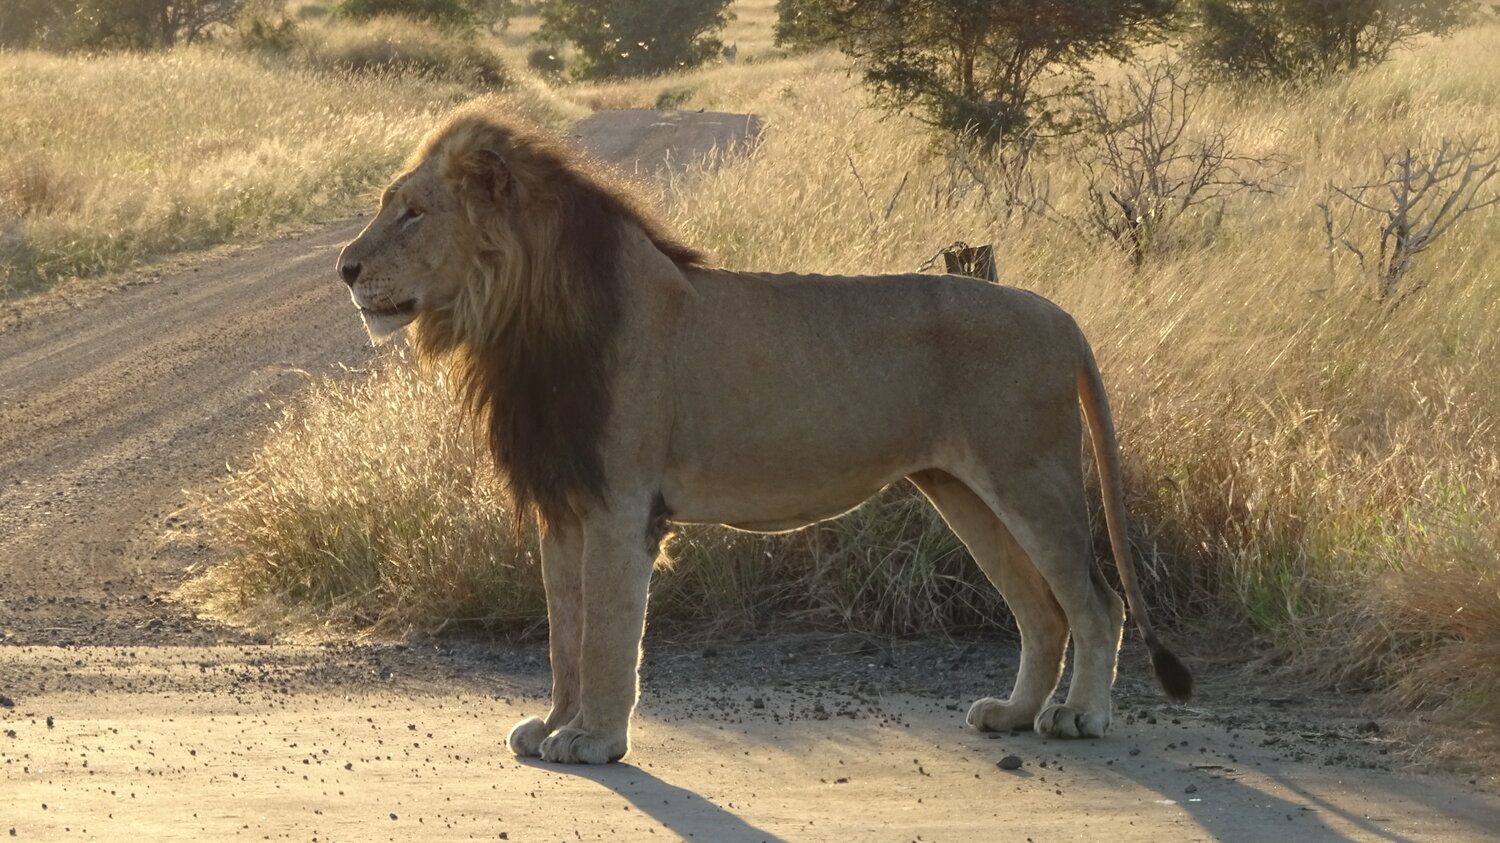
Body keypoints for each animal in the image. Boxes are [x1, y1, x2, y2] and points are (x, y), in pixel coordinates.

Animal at [335, 101, 1192, 765]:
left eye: (411, 212)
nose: (344, 268)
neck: (516, 316)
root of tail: (1061, 315)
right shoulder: (565, 500)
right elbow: (564, 630)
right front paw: (552, 723)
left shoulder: (619, 505)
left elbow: (607, 630)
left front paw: (593, 739)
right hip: (962, 491)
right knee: (1041, 610)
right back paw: (1012, 713)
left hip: (1030, 478)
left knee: (1097, 601)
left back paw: (1078, 716)